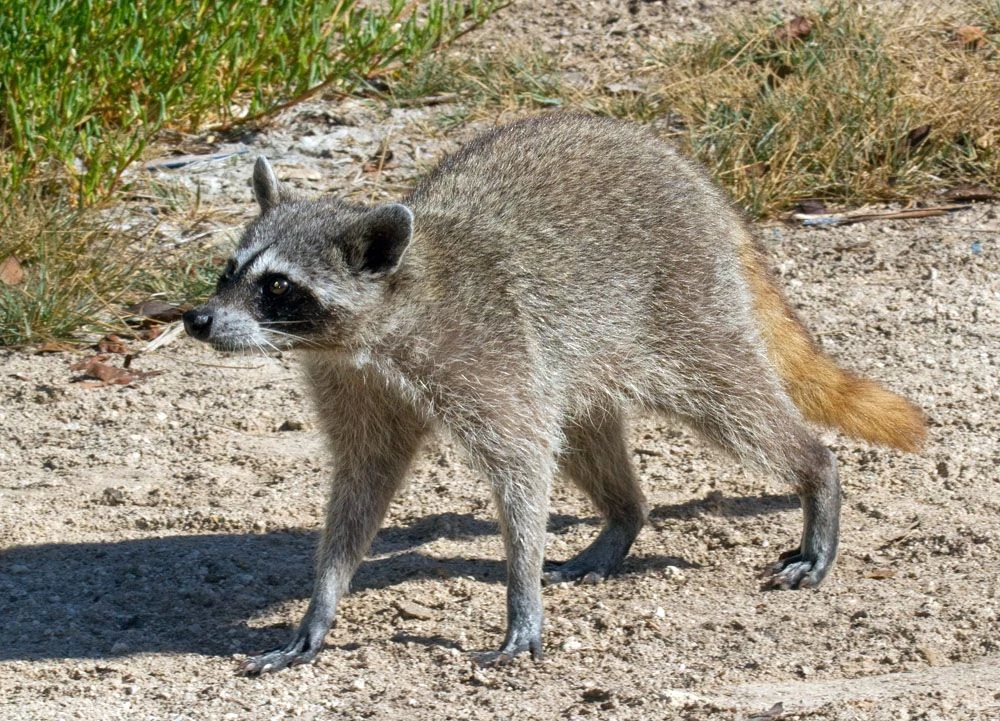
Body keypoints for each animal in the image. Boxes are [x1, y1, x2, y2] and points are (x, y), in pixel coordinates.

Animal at [183, 113, 925, 674]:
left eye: (278, 286)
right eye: (228, 270)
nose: (197, 320)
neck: (367, 332)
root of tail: (695, 178)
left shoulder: (482, 352)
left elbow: (522, 464)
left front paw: (522, 594)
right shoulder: (357, 383)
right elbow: (363, 484)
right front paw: (322, 604)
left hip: (680, 305)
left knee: (727, 399)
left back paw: (817, 475)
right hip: (581, 354)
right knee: (586, 432)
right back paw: (624, 517)